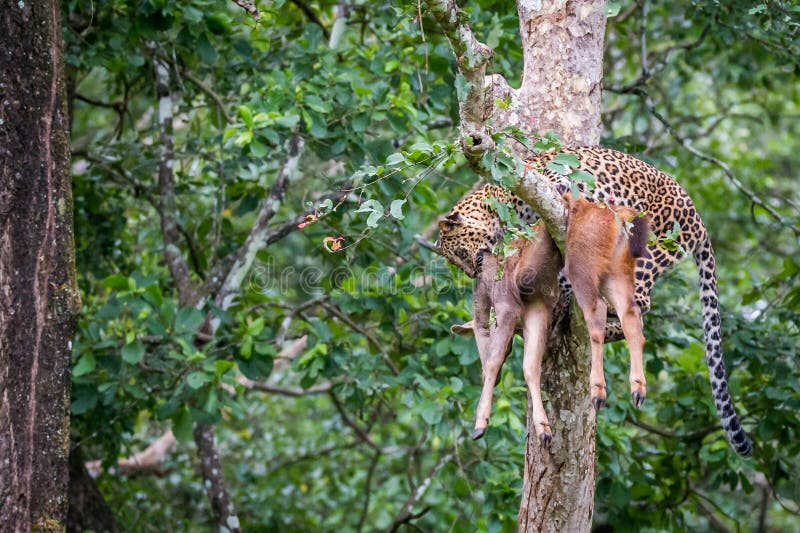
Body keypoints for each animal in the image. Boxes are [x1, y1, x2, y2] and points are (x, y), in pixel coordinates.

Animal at [436, 146, 753, 457]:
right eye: (456, 261)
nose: (475, 272)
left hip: (651, 250)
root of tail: (698, 218)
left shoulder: (547, 182)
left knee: (635, 305)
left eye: (461, 253)